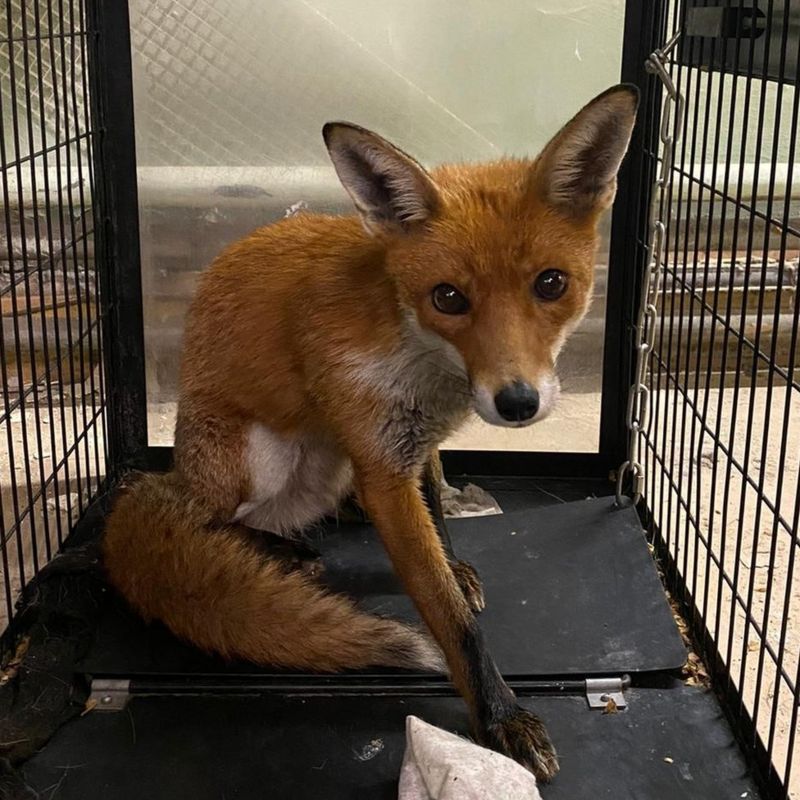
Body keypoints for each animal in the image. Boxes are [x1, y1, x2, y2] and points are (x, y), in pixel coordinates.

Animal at [103, 84, 638, 780]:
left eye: (551, 284)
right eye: (448, 297)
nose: (518, 403)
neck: (420, 354)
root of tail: (164, 478)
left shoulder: (414, 444)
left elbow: (436, 510)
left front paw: (454, 562)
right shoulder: (383, 461)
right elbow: (451, 618)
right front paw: (500, 718)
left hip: (329, 464)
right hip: (264, 457)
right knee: (207, 523)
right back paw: (277, 553)